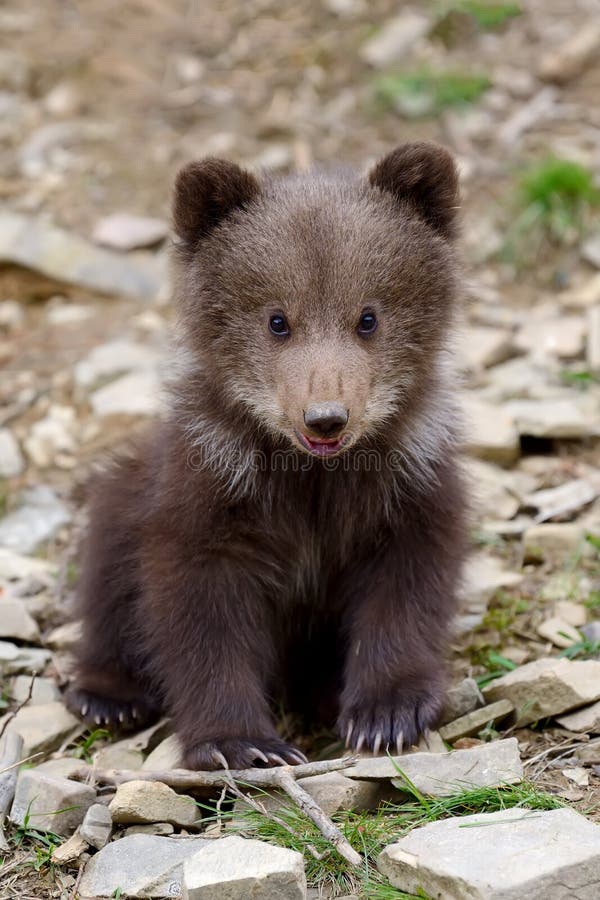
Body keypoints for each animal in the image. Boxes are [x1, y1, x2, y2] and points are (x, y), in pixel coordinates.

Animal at [66, 142, 467, 770]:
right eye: (277, 320)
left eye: (368, 317)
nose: (325, 416)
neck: (312, 477)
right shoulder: (208, 490)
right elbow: (200, 615)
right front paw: (242, 742)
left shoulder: (409, 480)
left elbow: (407, 586)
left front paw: (386, 713)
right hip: (126, 498)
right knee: (106, 571)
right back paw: (109, 696)